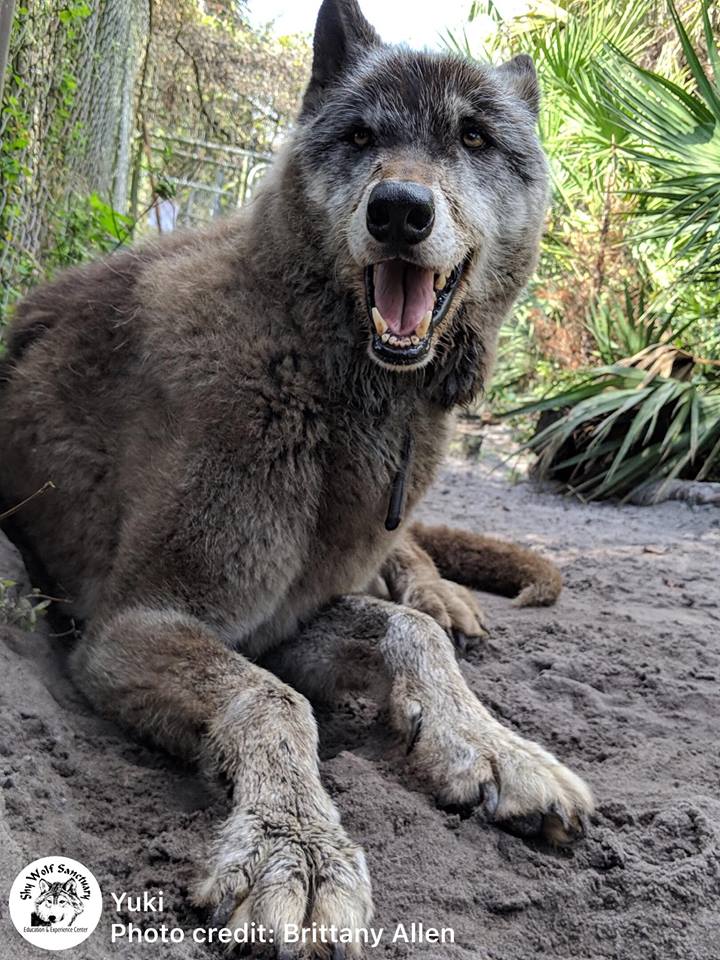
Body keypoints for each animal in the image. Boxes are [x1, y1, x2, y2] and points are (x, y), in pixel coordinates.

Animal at [0, 0, 593, 953]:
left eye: (473, 136)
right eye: (360, 136)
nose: (398, 210)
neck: (325, 377)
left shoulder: (290, 619)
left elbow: (403, 633)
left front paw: (494, 745)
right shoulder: (136, 627)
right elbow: (275, 702)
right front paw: (300, 853)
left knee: (415, 573)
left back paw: (446, 598)